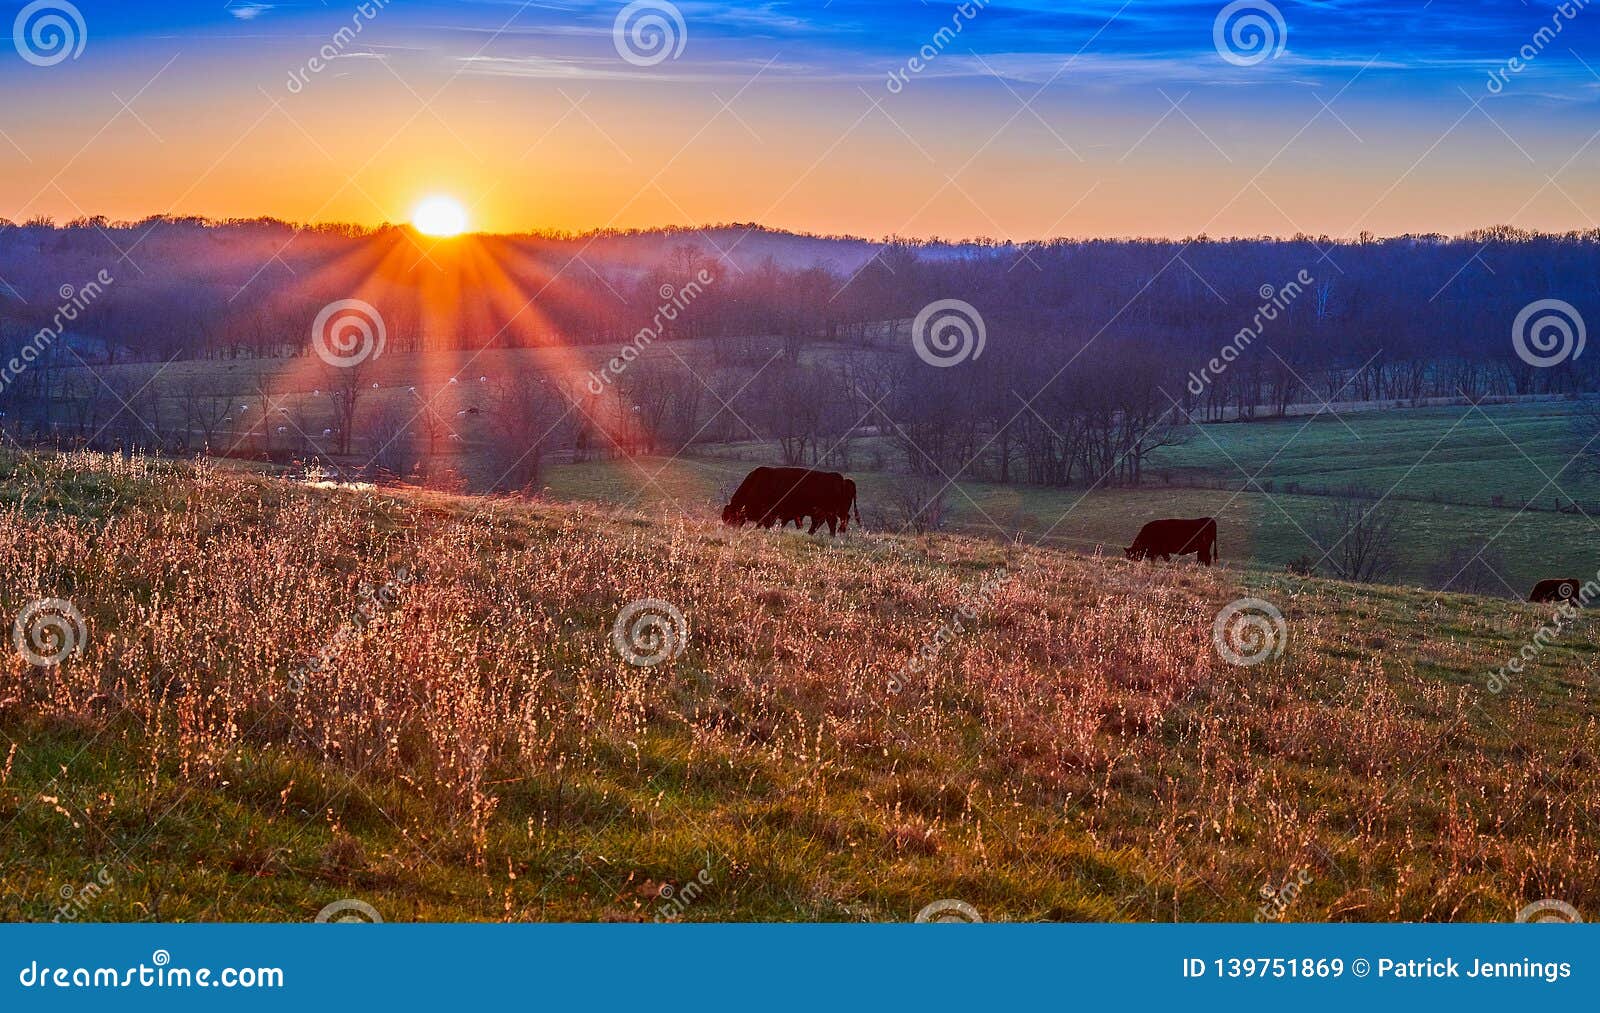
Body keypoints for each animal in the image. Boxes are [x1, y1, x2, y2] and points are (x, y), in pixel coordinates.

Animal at [722, 467, 859, 536]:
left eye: (731, 516)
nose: (730, 528)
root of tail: (841, 479)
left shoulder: (770, 512)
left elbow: (766, 522)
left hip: (829, 511)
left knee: (832, 522)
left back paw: (832, 534)